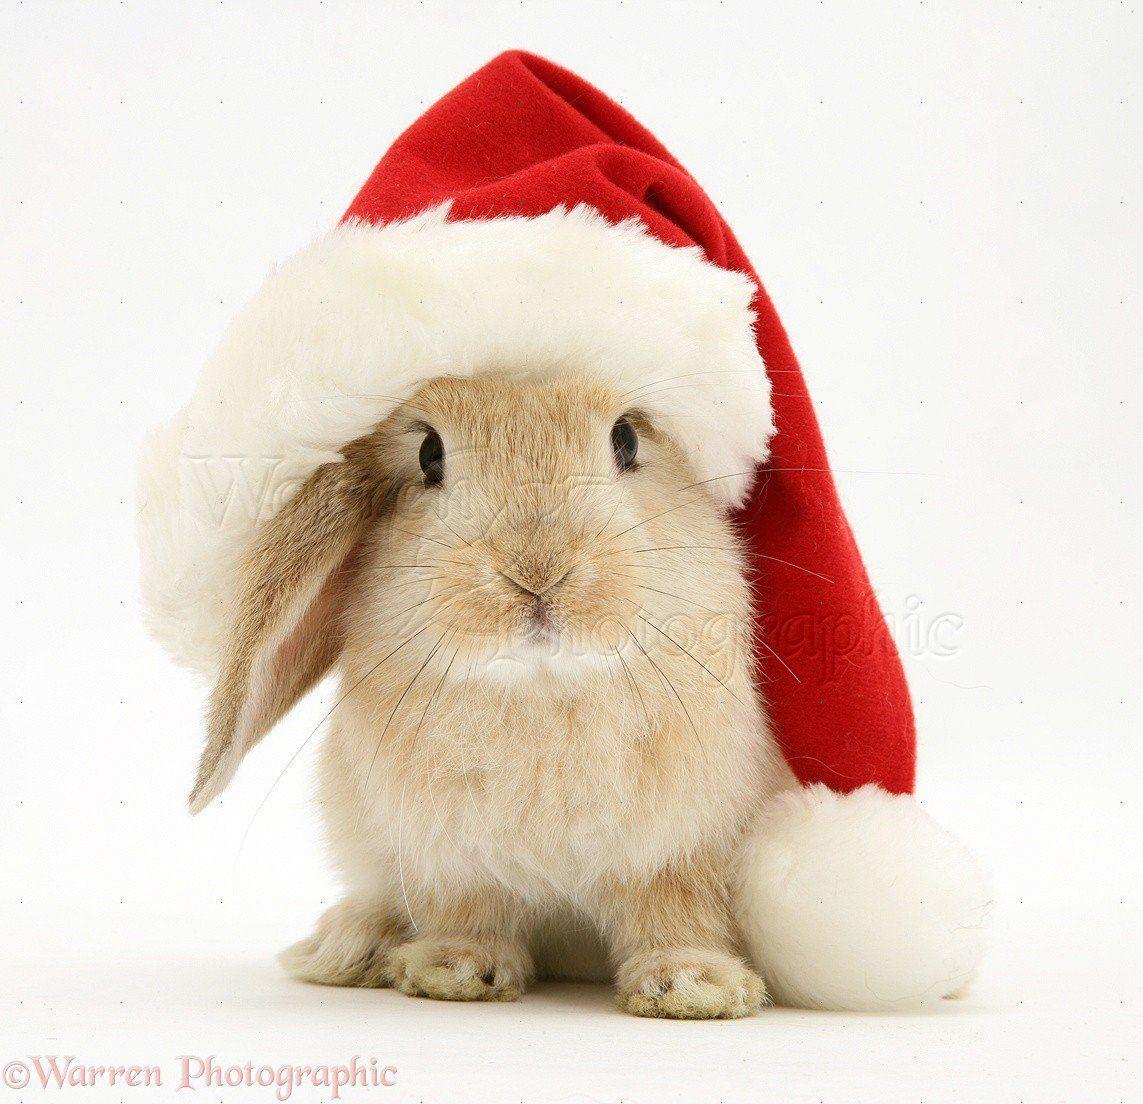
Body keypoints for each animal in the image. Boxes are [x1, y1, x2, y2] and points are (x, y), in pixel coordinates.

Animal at [191, 367, 796, 1020]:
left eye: (627, 439)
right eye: (430, 454)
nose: (537, 570)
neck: (543, 689)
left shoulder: (678, 851)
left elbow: (676, 912)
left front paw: (691, 984)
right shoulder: (450, 857)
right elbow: (468, 910)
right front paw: (454, 968)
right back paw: (352, 946)